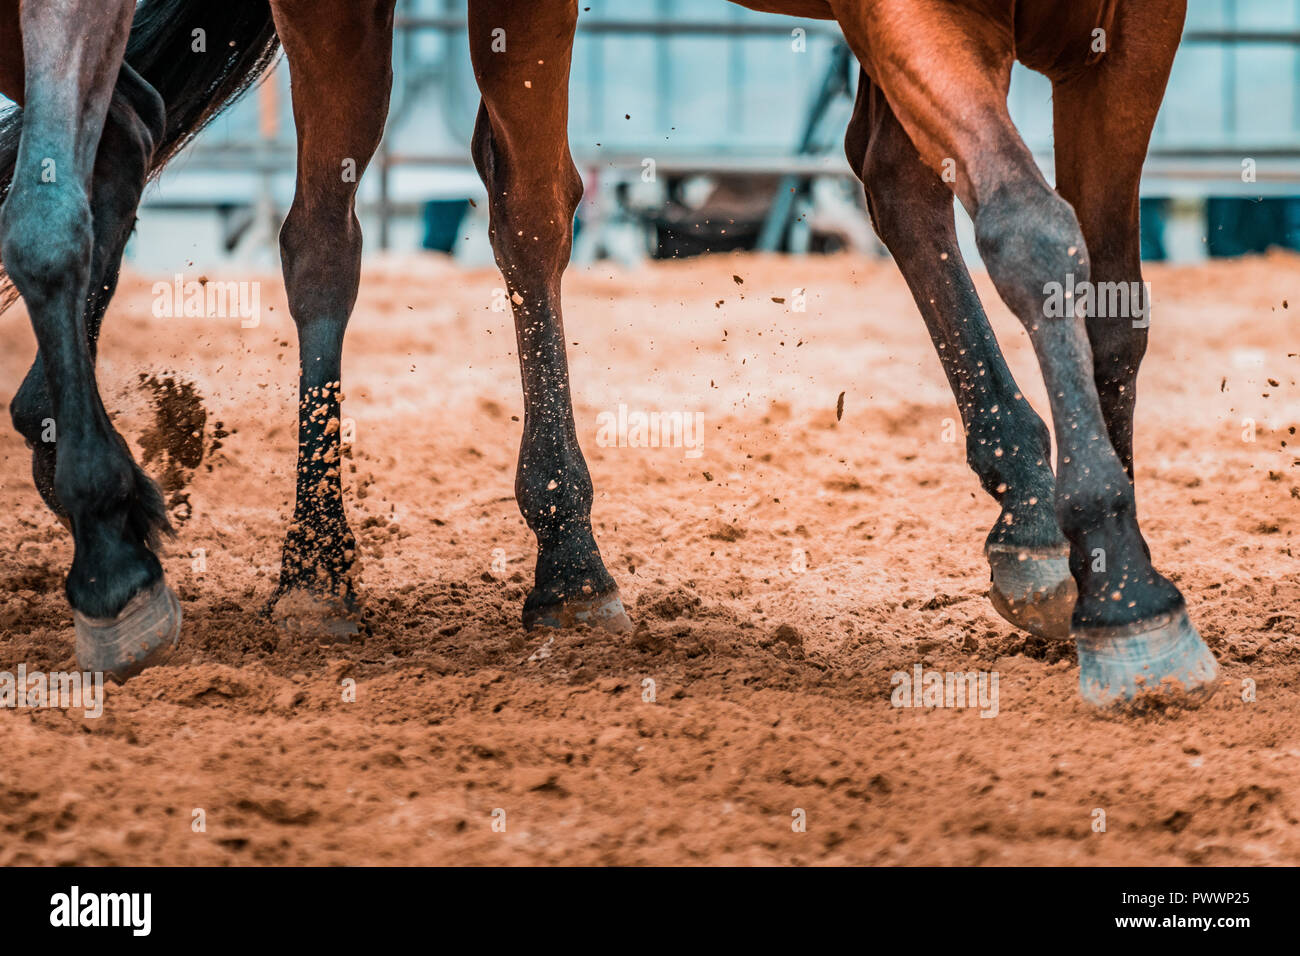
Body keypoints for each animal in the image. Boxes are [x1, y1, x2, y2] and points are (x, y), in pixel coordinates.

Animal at [0, 0, 1219, 711]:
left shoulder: (1131, 30)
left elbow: (1108, 296)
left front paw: (1104, 557)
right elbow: (1029, 234)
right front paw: (1123, 589)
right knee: (334, 237)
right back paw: (313, 563)